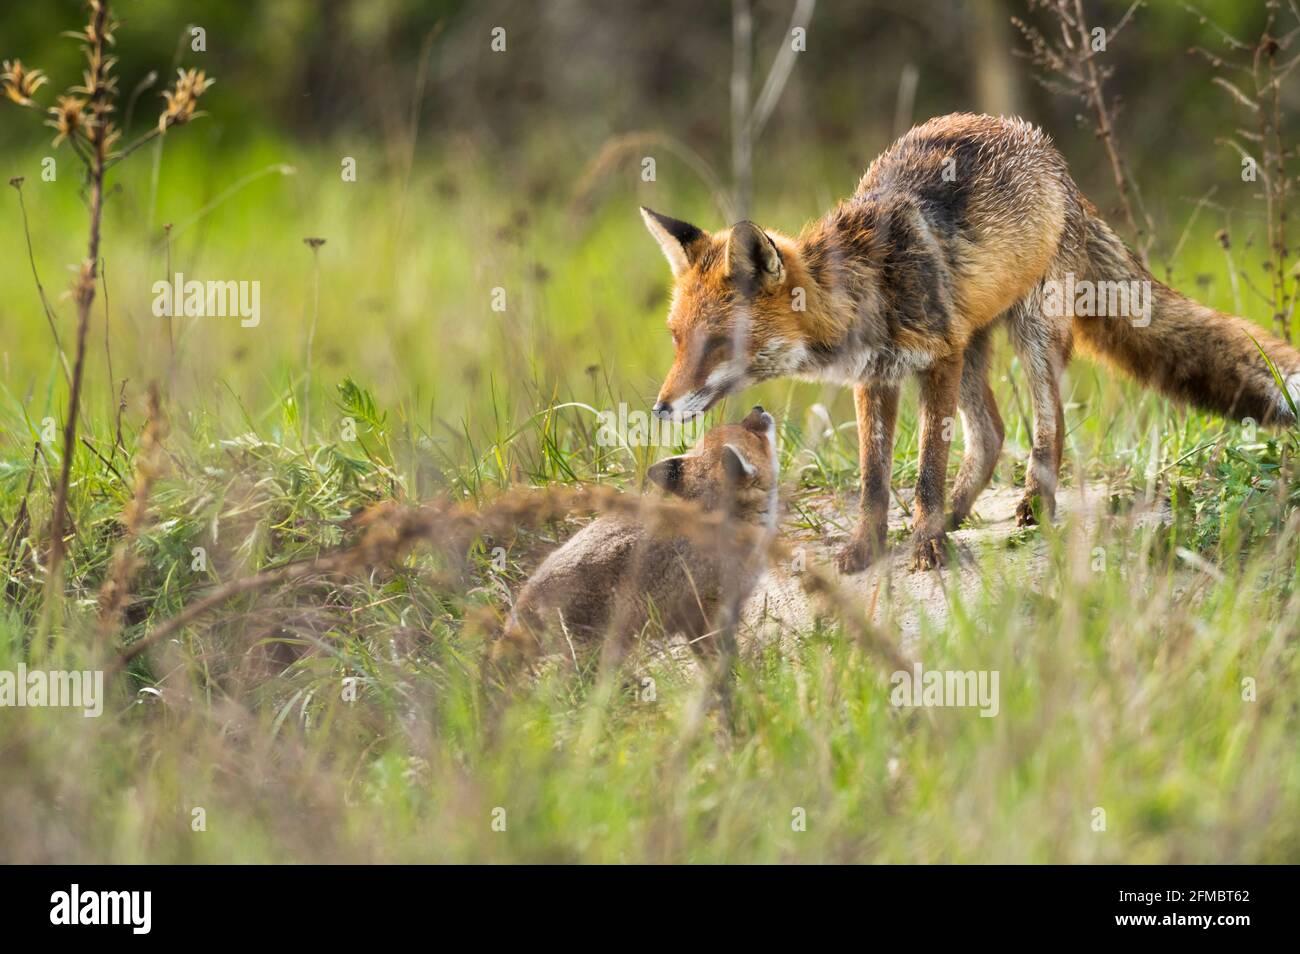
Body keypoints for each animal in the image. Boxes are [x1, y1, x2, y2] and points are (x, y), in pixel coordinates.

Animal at [640, 112, 1300, 573]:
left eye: (718, 343)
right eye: (675, 339)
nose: (660, 409)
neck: (866, 287)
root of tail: (1050, 154)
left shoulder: (937, 360)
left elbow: (927, 469)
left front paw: (927, 546)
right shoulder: (875, 378)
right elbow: (873, 481)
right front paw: (869, 546)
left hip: (1029, 335)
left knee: (1047, 424)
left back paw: (1033, 503)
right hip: (977, 343)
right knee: (991, 433)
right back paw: (959, 513)